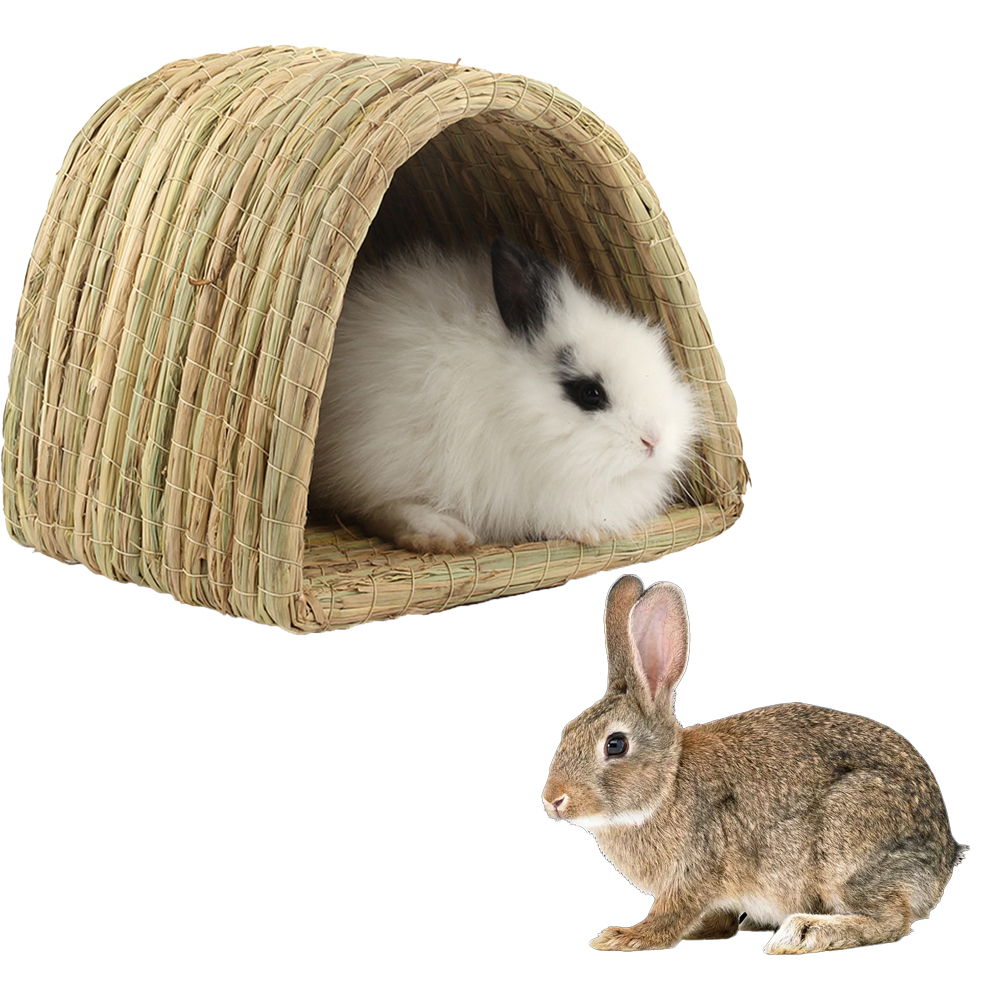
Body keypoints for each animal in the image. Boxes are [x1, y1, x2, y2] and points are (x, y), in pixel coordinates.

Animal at [542, 576, 965, 954]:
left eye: (615, 745)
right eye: (567, 730)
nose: (552, 800)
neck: (668, 784)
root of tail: (945, 854)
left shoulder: (696, 868)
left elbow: (670, 915)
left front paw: (622, 936)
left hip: (848, 845)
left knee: (891, 921)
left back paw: (803, 932)